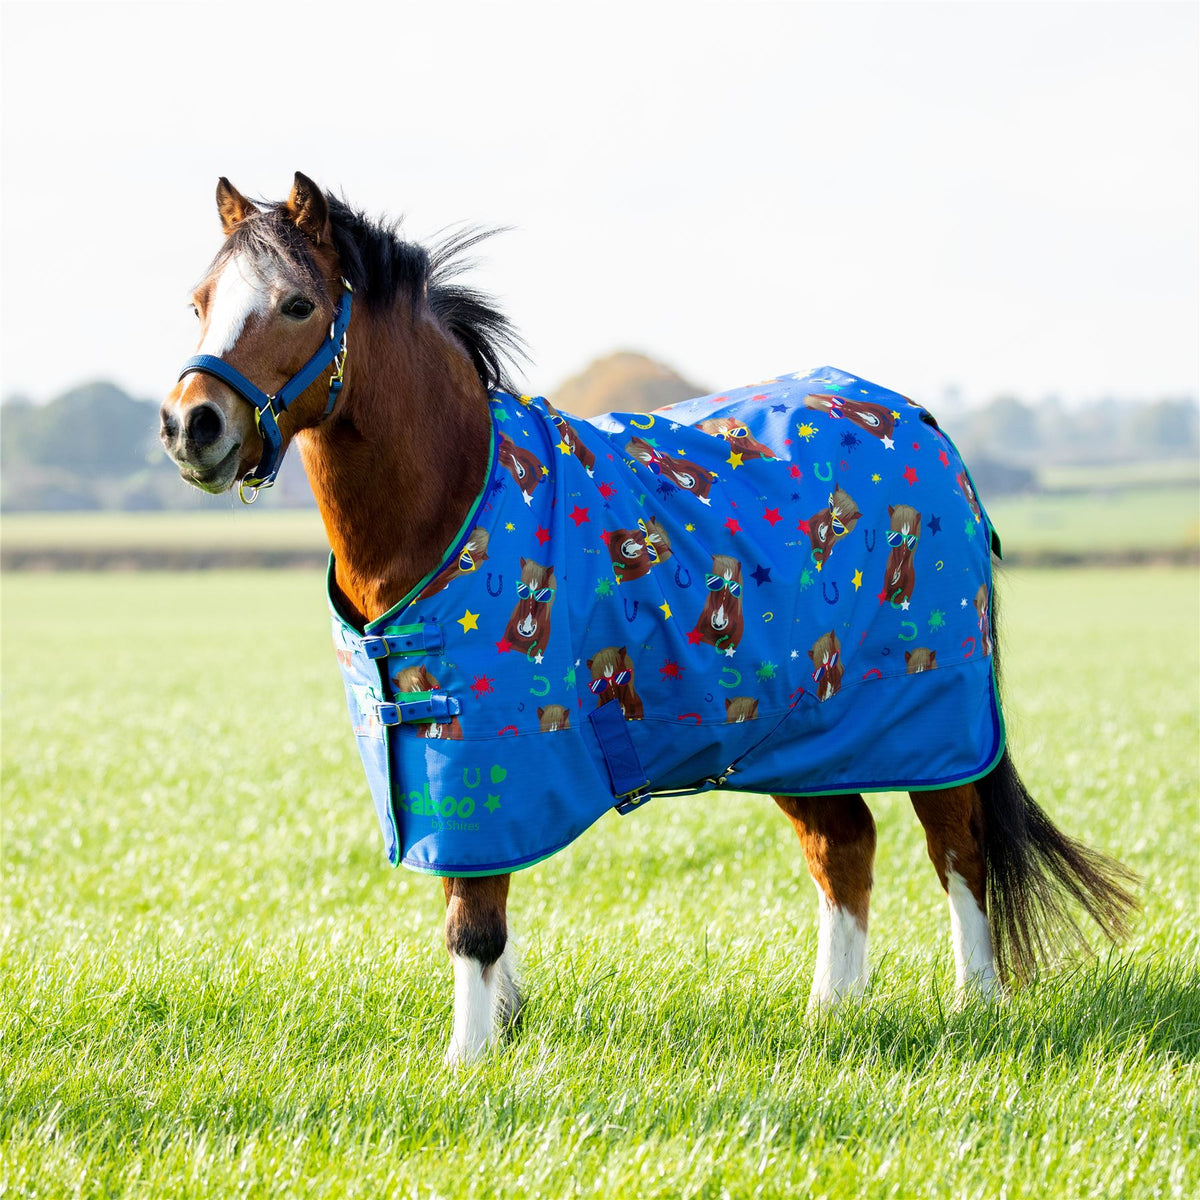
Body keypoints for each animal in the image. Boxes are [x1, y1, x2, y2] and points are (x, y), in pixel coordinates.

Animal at [161, 173, 1138, 1067]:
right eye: (200, 301)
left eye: (297, 303)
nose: (189, 425)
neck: (457, 501)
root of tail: (923, 422)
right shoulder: (448, 765)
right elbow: (477, 904)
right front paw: (503, 1030)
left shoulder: (489, 754)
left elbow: (474, 920)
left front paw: (466, 1064)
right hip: (794, 725)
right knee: (845, 845)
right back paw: (832, 1014)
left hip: (933, 717)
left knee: (956, 845)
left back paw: (978, 1005)